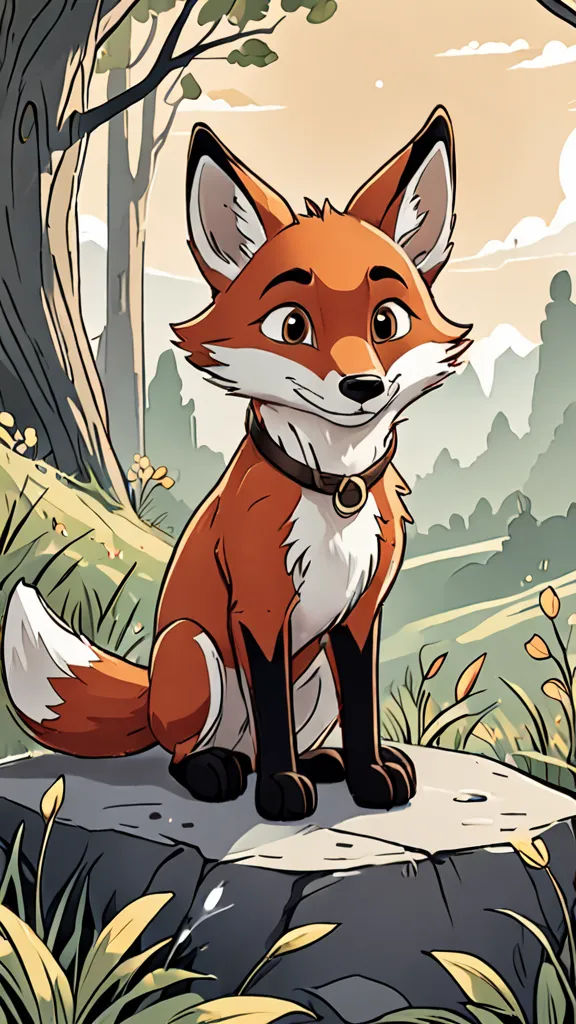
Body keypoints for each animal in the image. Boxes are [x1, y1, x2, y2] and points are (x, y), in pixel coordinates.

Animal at [2, 107, 472, 822]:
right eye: (292, 326)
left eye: (387, 321)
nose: (363, 386)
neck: (335, 489)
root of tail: (149, 695)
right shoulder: (259, 608)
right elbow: (273, 715)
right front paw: (281, 792)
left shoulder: (359, 617)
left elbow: (363, 713)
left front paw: (368, 775)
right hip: (193, 650)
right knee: (191, 753)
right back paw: (224, 771)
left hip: (314, 671)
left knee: (291, 734)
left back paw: (324, 763)